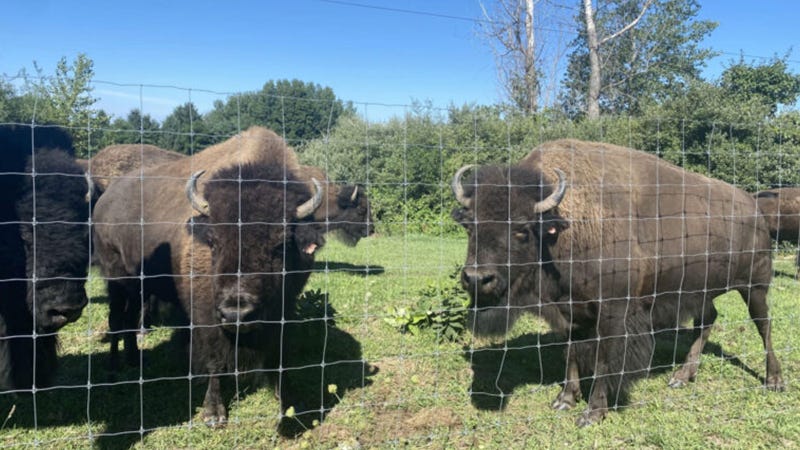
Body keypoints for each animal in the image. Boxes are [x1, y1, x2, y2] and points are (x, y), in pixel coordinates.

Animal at [92, 126, 325, 425]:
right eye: (214, 241)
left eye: (281, 244)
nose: (236, 313)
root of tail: (105, 199)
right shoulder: (205, 314)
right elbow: (213, 358)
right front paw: (214, 412)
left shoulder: (283, 308)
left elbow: (278, 354)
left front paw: (288, 400)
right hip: (116, 279)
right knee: (117, 318)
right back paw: (114, 368)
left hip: (138, 286)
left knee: (131, 317)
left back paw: (134, 359)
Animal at [452, 139, 784, 426]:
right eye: (469, 226)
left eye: (521, 229)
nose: (477, 279)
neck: (562, 229)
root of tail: (754, 209)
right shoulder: (570, 312)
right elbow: (571, 355)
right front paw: (565, 400)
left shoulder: (612, 313)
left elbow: (604, 362)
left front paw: (592, 413)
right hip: (700, 292)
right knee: (707, 320)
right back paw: (681, 377)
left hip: (755, 287)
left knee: (763, 325)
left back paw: (774, 381)